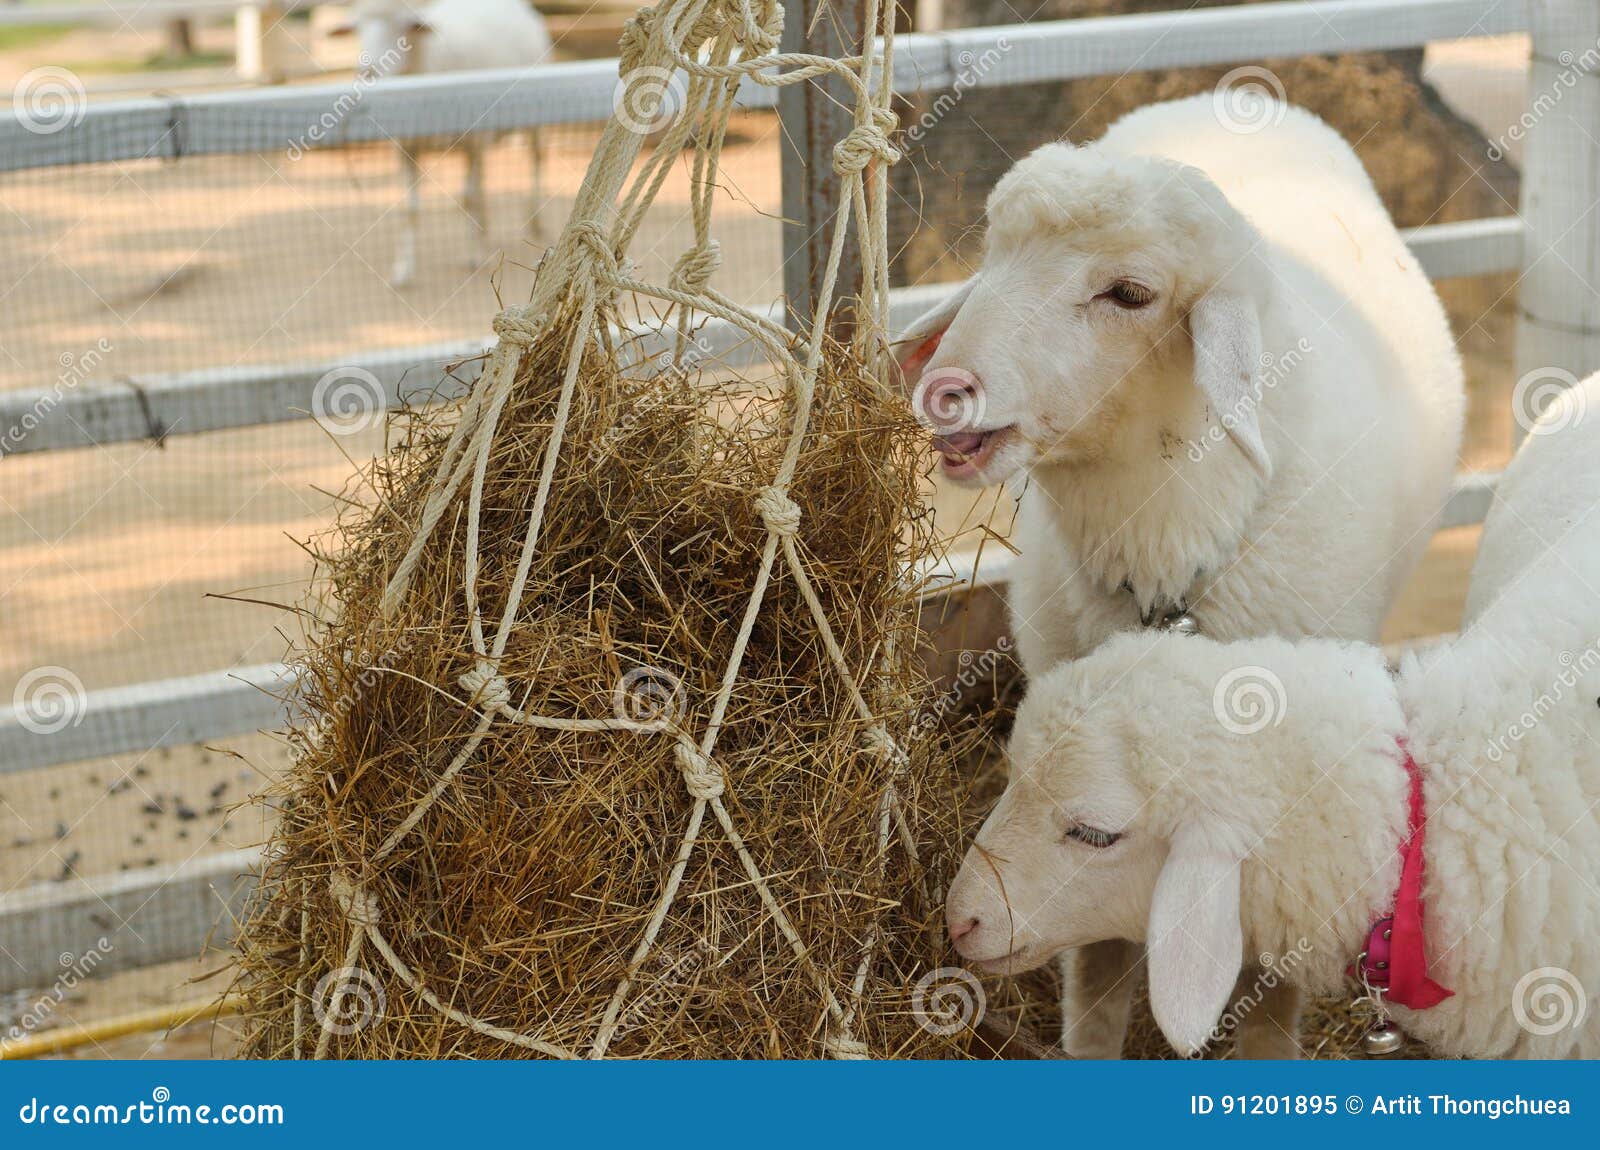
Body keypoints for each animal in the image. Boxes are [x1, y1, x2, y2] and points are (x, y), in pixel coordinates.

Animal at [332, 0, 554, 286]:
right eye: (357, 27)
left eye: (405, 26)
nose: (368, 72)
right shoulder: (406, 148)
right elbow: (411, 211)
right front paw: (403, 270)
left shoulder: (472, 141)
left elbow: (468, 198)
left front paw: (473, 256)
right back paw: (484, 228)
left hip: (532, 121)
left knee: (536, 160)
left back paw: (531, 219)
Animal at [895, 95, 1465, 1057]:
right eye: (995, 253)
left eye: (1129, 294)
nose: (947, 387)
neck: (1166, 558)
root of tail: (1241, 97)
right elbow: (1095, 968)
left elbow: (1274, 985)